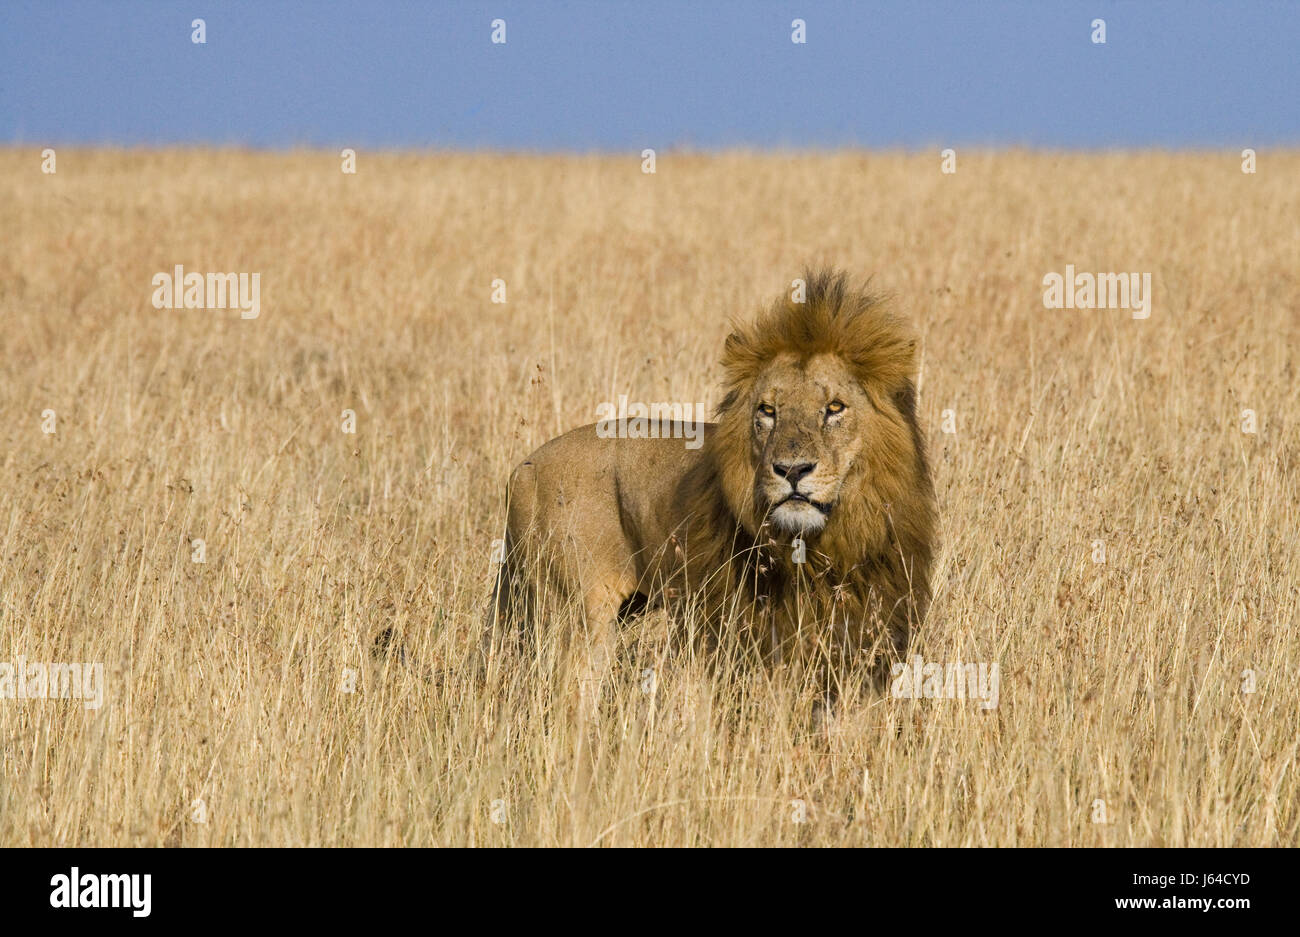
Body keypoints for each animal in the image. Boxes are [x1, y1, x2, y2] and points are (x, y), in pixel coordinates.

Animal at [488, 269, 936, 694]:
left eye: (835, 407)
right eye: (767, 410)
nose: (791, 470)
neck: (826, 544)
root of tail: (523, 467)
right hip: (574, 616)